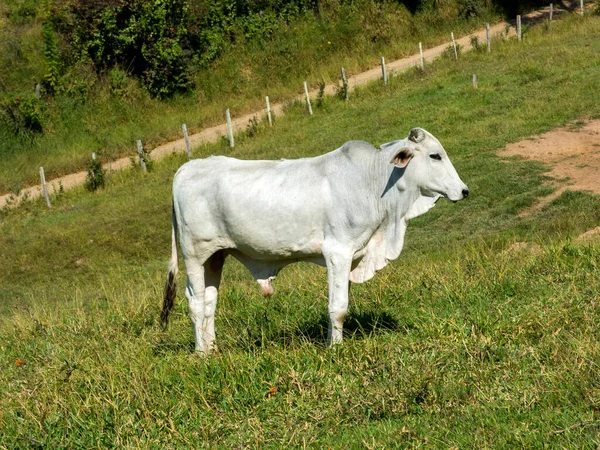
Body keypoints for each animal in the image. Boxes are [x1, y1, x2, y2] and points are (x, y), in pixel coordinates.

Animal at [161, 126, 468, 352]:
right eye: (435, 156)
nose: (464, 190)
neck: (372, 181)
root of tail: (185, 168)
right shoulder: (338, 252)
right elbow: (338, 307)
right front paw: (336, 349)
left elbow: (338, 303)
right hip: (194, 256)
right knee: (196, 302)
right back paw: (201, 354)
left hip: (215, 256)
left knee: (210, 302)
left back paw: (212, 348)